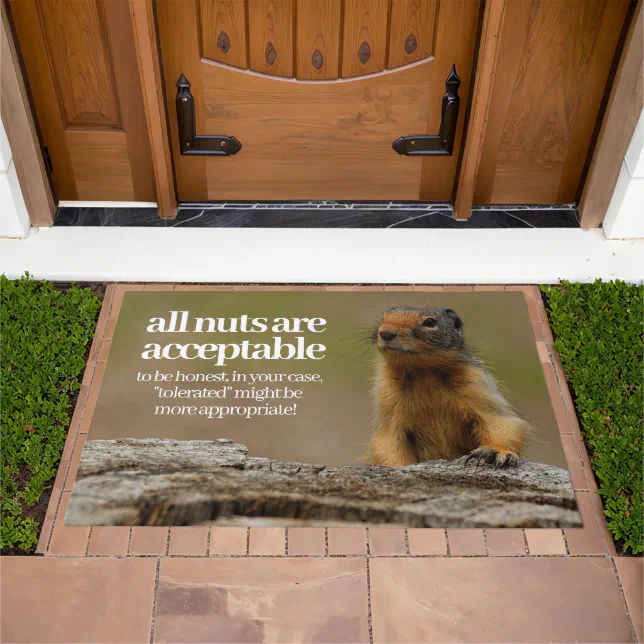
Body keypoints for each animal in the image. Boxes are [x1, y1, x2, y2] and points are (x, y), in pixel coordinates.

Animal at [367, 306, 529, 468]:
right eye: (383, 317)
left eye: (430, 322)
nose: (385, 332)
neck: (423, 373)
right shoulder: (387, 398)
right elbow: (388, 442)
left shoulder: (477, 384)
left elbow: (500, 423)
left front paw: (495, 452)